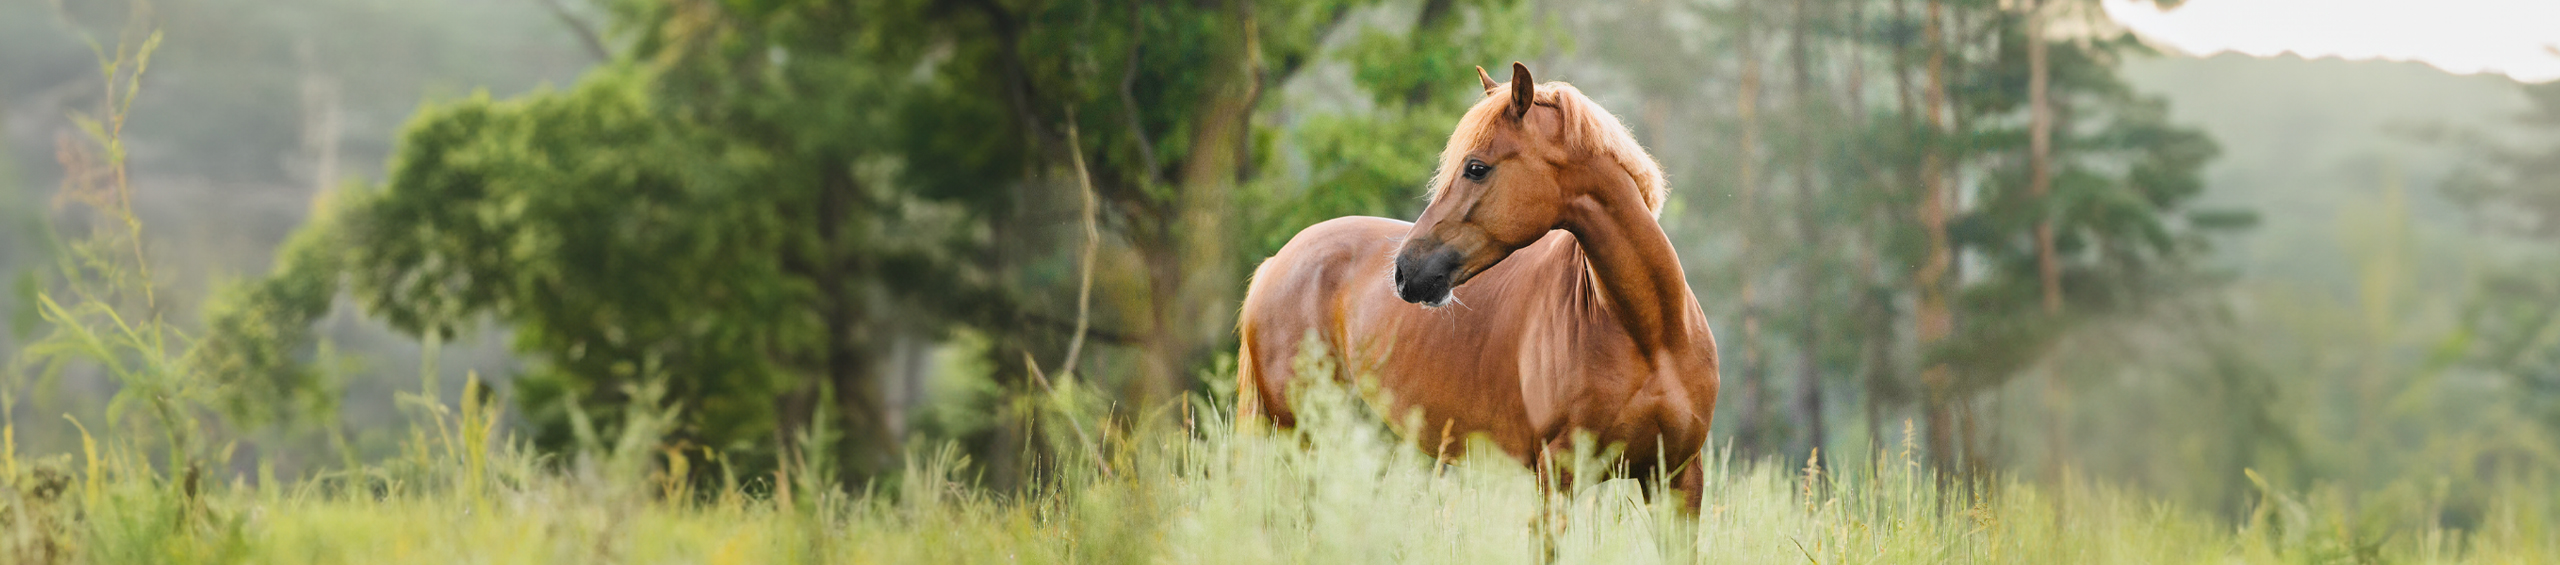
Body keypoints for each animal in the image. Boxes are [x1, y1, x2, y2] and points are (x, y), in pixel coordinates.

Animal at [1235, 62, 1720, 511]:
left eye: (1475, 168)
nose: (1405, 271)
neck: (1650, 334)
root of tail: (1276, 263)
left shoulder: (1678, 479)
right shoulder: (1557, 477)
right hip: (1303, 440)